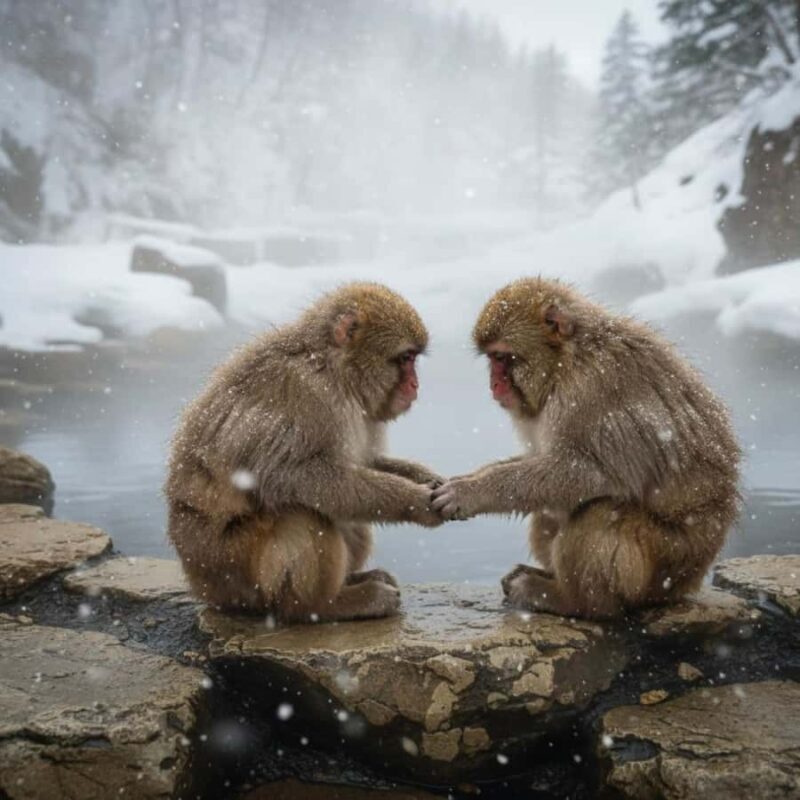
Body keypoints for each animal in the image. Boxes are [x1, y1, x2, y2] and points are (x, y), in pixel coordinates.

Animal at [165, 283, 443, 624]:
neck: (335, 370)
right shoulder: (309, 395)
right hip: (235, 570)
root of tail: (200, 583)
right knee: (302, 513)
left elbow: (364, 462)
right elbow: (291, 475)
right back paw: (328, 605)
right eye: (405, 358)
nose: (415, 385)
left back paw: (354, 581)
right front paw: (414, 501)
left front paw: (426, 478)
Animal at [432, 277, 741, 619]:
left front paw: (470, 493)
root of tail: (691, 579)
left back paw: (570, 600)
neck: (565, 363)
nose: (494, 385)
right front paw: (468, 479)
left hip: (664, 563)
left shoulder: (587, 392)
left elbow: (587, 473)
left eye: (502, 357)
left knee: (599, 512)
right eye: (491, 359)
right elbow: (538, 460)